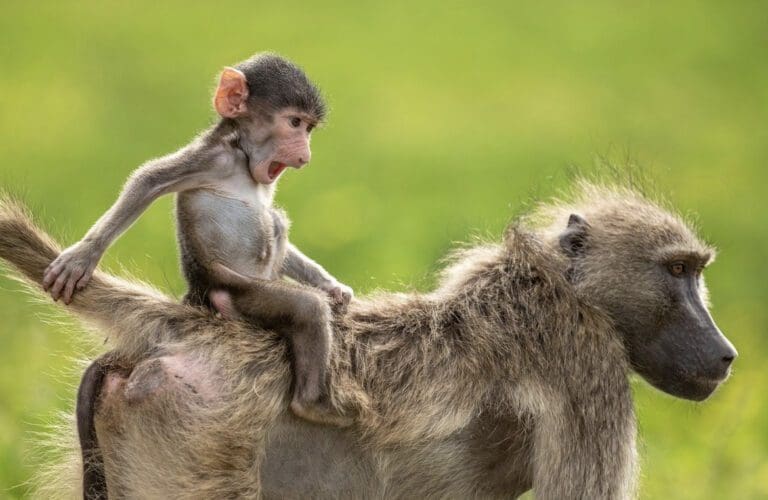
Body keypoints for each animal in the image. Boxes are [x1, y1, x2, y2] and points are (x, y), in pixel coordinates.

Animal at [0, 181, 737, 498]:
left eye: (697, 271)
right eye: (677, 273)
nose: (726, 353)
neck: (557, 288)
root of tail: (194, 328)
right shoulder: (588, 367)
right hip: (208, 437)